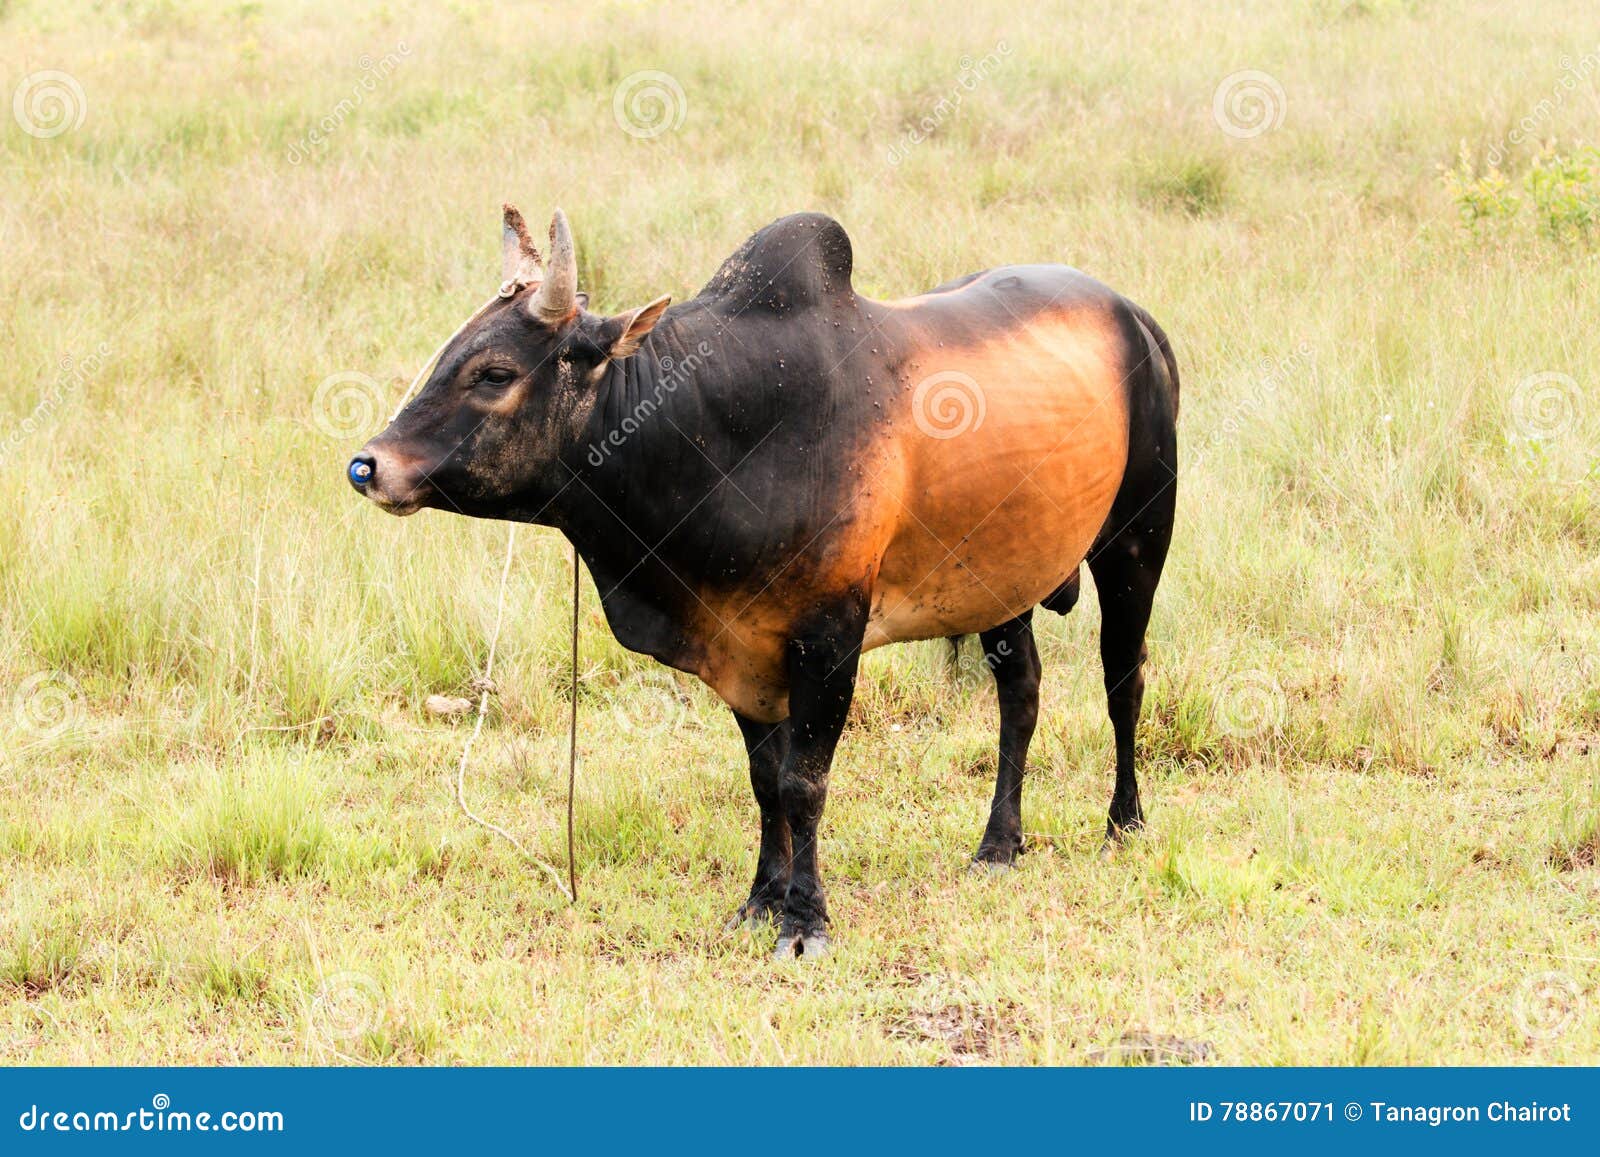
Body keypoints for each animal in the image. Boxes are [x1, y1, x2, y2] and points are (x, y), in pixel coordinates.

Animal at [350, 205, 1179, 959]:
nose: (370, 465)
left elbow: (804, 783)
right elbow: (764, 779)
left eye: (494, 373)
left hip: (1137, 543)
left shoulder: (828, 639)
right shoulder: (743, 645)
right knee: (1023, 692)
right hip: (1002, 584)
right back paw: (1000, 843)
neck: (715, 428)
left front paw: (805, 921)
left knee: (1123, 678)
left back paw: (1125, 823)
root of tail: (1136, 317)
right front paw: (760, 900)